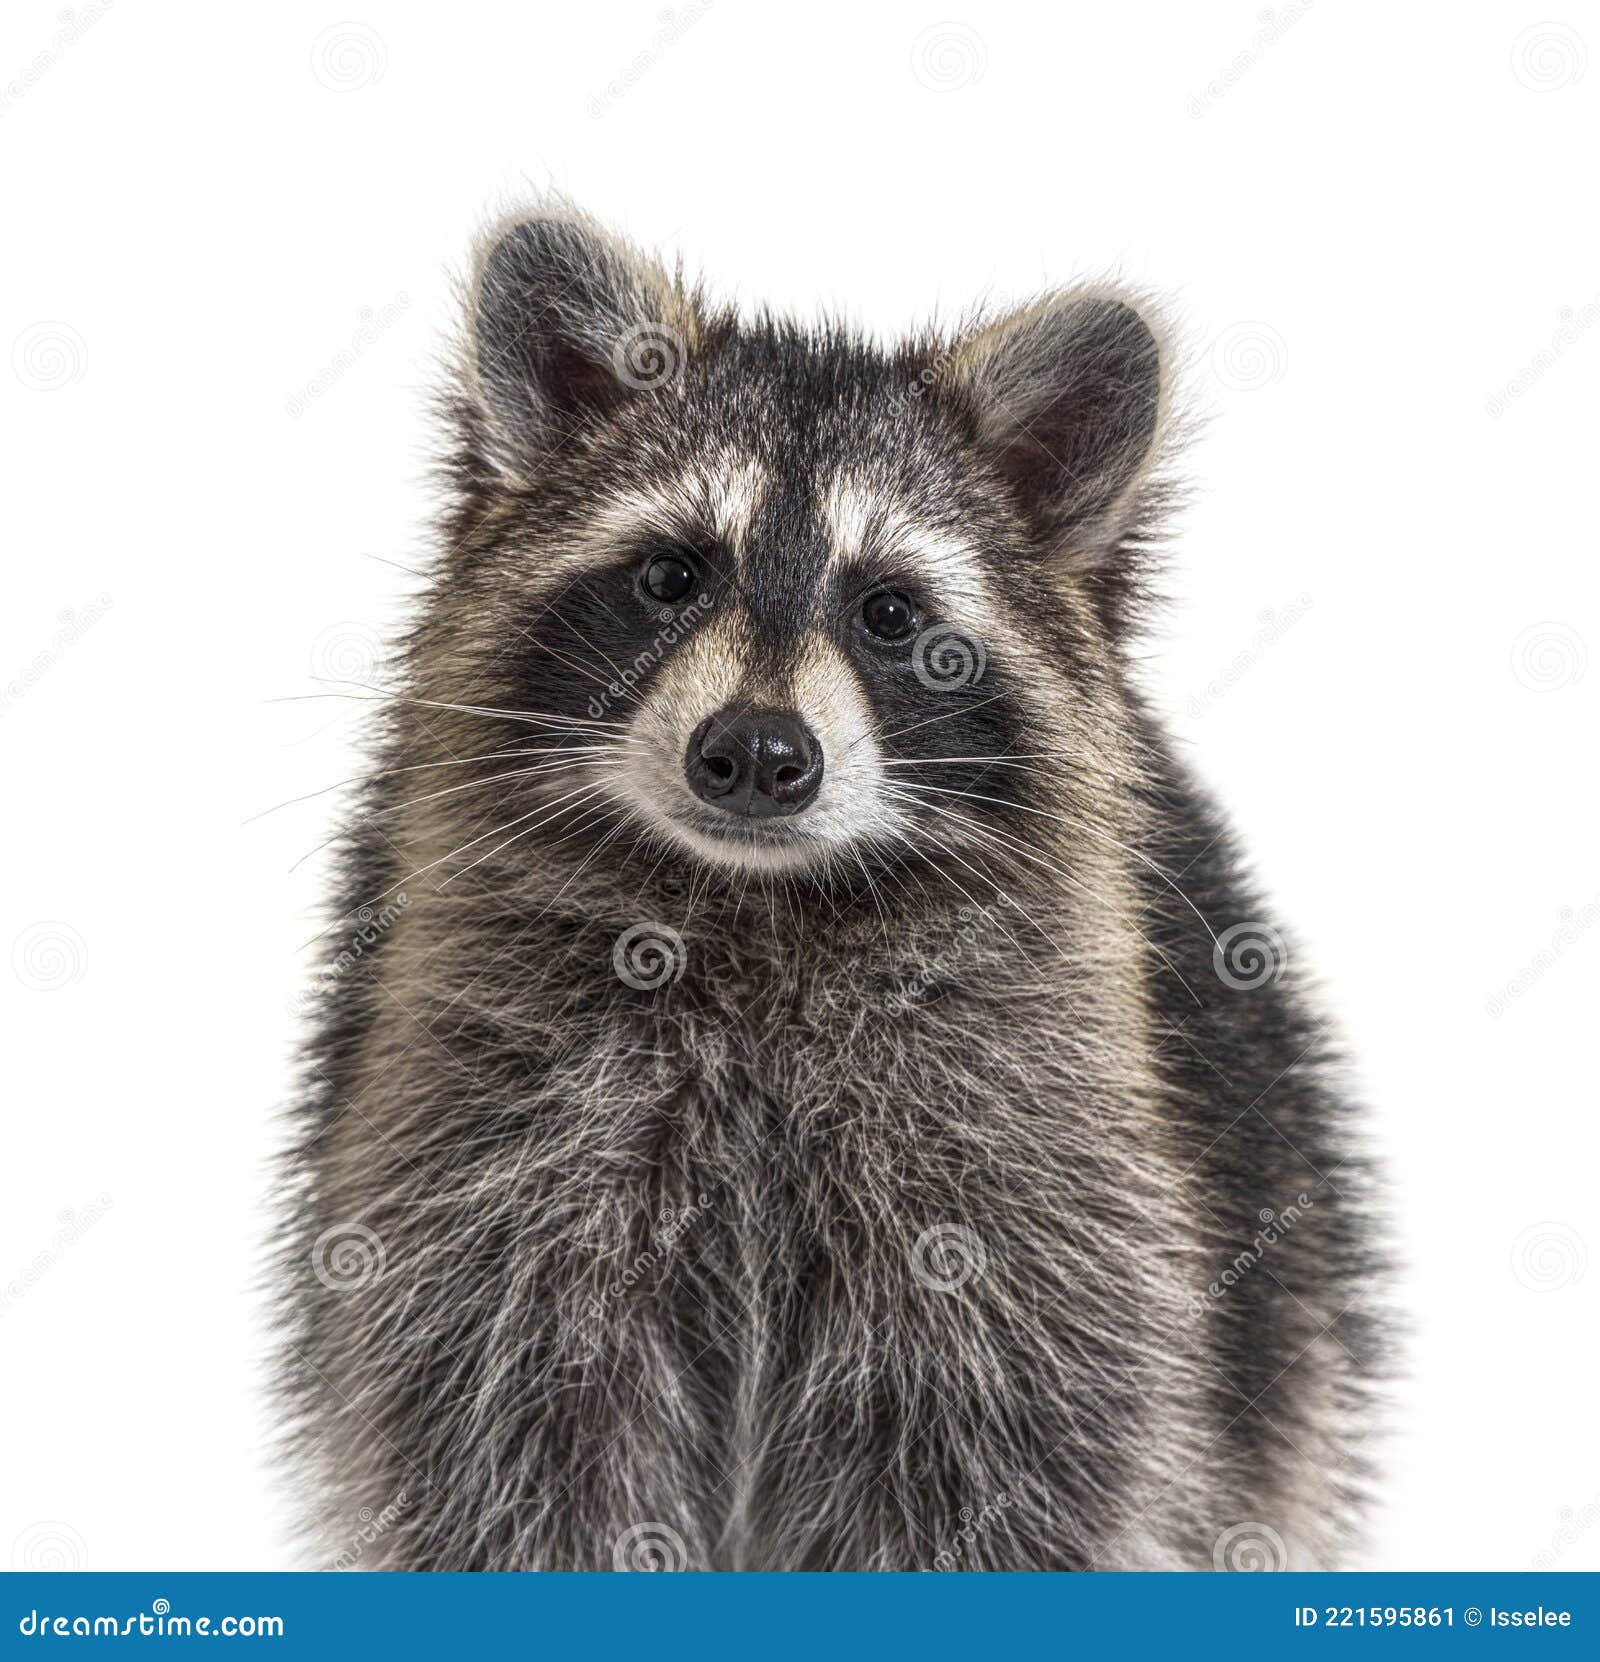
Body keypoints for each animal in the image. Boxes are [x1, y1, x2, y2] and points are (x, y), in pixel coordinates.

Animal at [278, 203, 1386, 1572]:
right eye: (671, 575)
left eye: (890, 612)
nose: (757, 753)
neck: (758, 909)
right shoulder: (483, 1164)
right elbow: (516, 1455)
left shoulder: (1031, 1199)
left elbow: (1005, 1472)